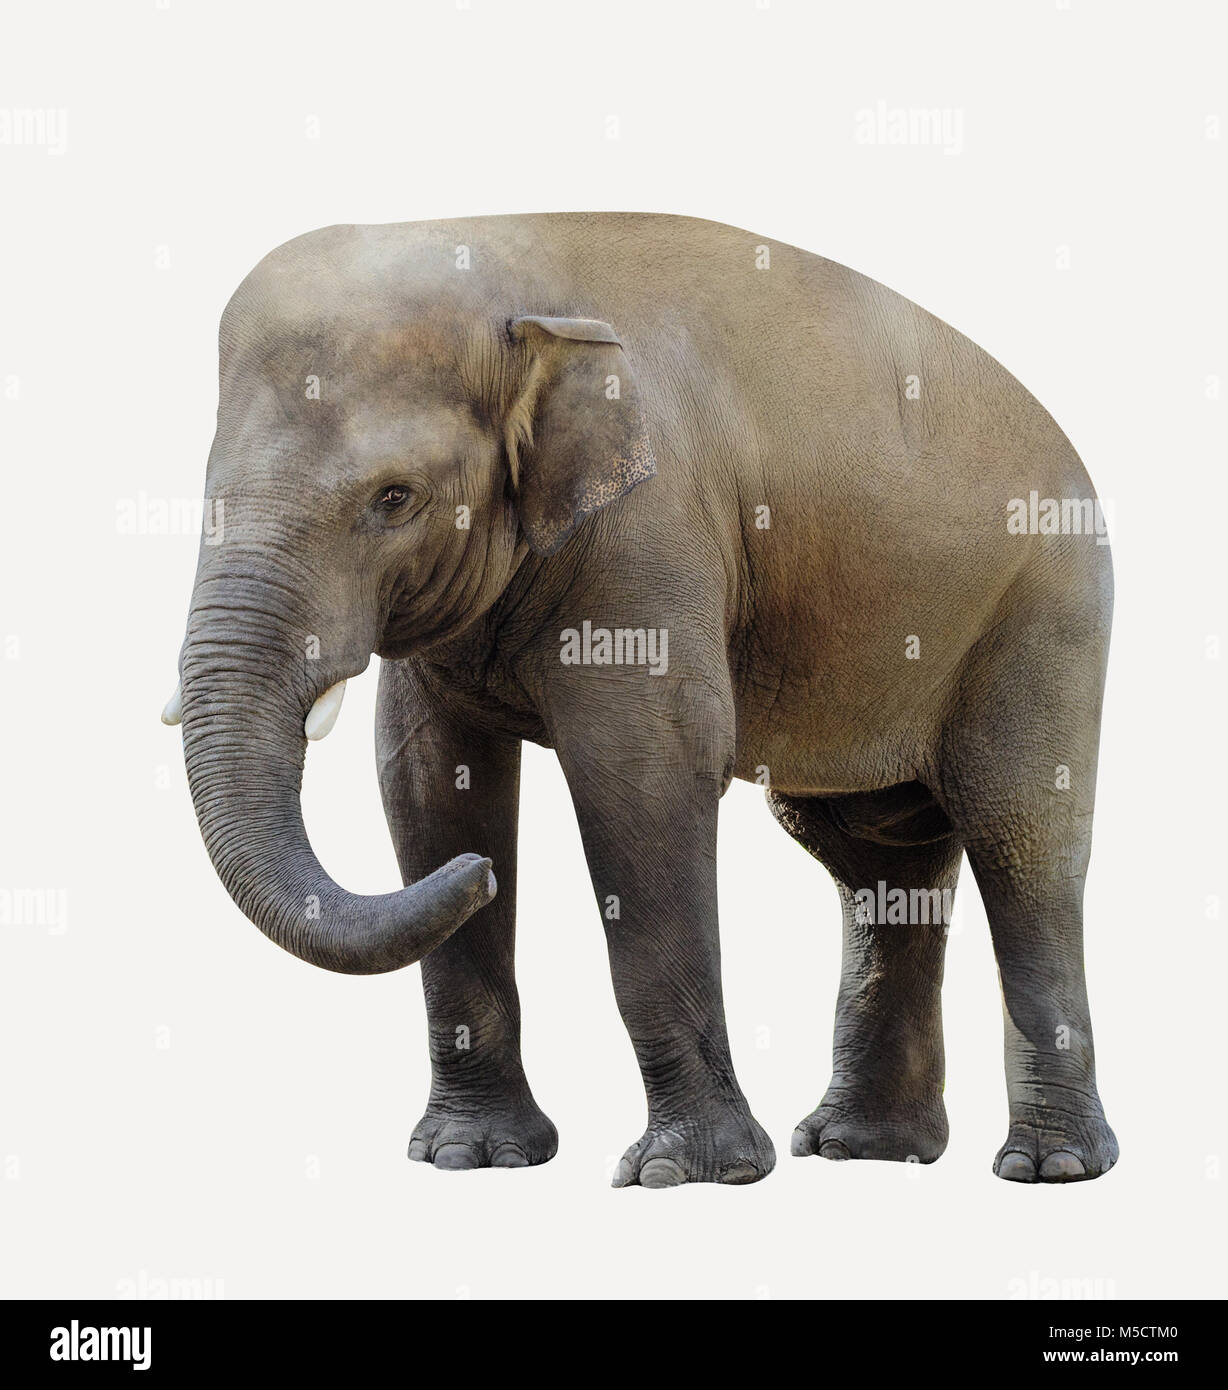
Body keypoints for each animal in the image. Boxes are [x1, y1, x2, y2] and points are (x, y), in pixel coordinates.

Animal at [163, 212, 1117, 1189]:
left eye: (395, 498)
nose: (480, 877)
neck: (499, 254)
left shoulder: (651, 533)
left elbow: (644, 772)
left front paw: (683, 1173)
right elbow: (426, 780)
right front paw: (473, 1156)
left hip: (1045, 612)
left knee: (1022, 842)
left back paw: (1048, 1167)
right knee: (874, 855)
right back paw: (865, 1149)